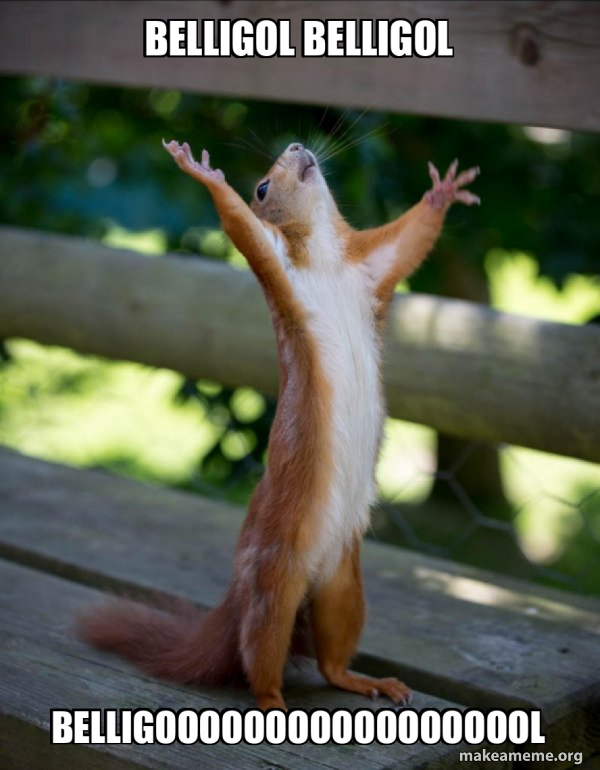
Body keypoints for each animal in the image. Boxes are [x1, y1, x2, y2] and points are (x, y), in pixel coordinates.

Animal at [78, 138, 479, 711]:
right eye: (262, 187)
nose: (296, 146)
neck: (326, 258)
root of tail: (238, 596)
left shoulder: (372, 267)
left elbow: (410, 240)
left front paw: (442, 192)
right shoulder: (276, 264)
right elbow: (240, 225)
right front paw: (204, 173)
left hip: (344, 586)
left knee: (332, 659)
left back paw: (366, 680)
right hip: (274, 583)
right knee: (259, 656)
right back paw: (273, 702)